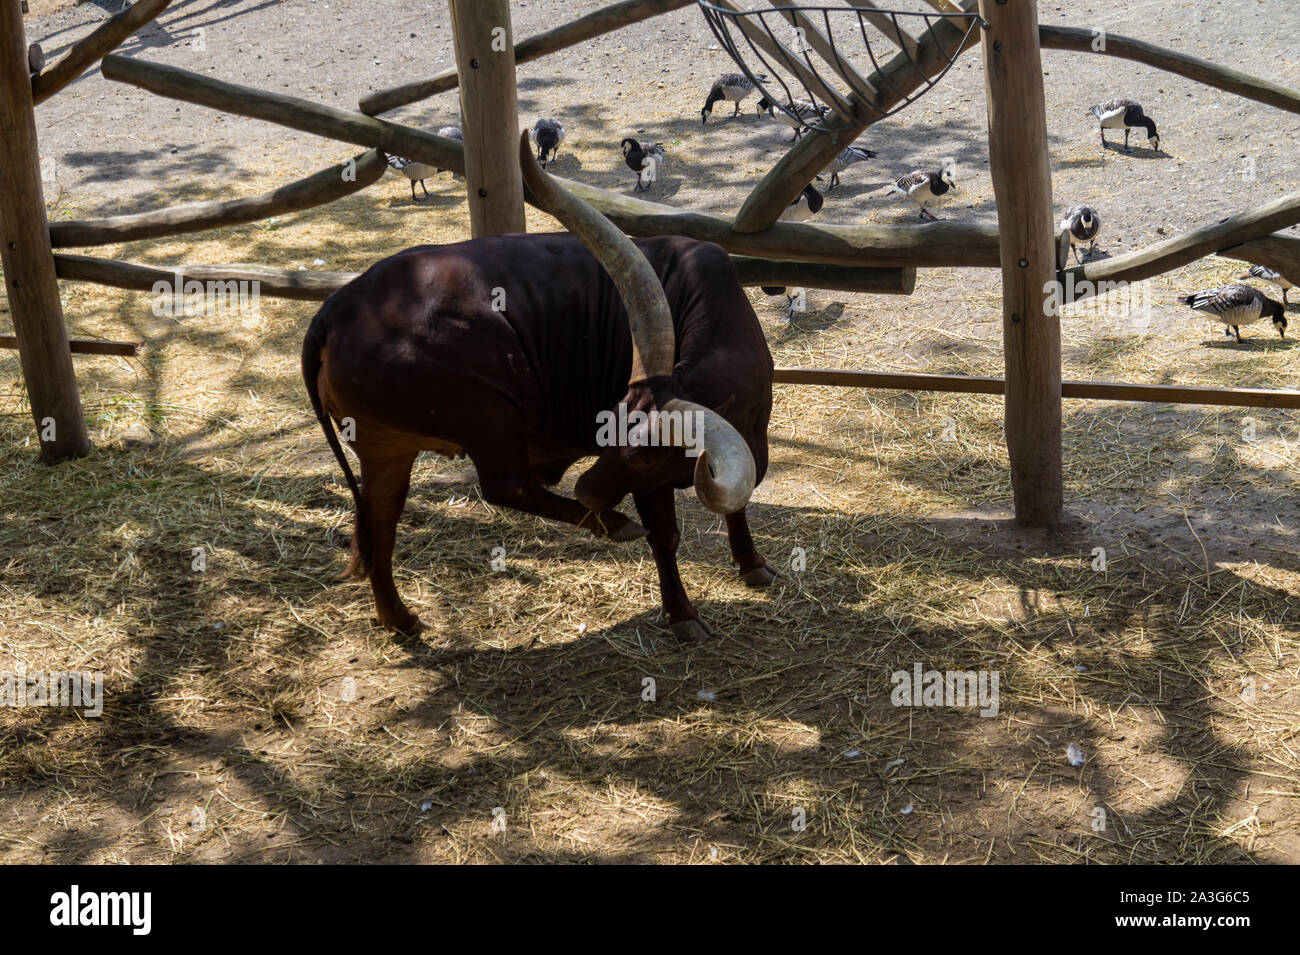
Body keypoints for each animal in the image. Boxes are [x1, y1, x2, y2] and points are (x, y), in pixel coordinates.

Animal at [302, 133, 776, 639]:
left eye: (646, 453)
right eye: (609, 426)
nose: (587, 491)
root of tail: (336, 307)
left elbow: (738, 504)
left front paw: (752, 563)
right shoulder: (653, 484)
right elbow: (665, 534)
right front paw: (683, 614)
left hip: (385, 448)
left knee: (380, 521)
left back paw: (399, 618)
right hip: (489, 411)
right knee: (505, 487)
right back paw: (614, 524)